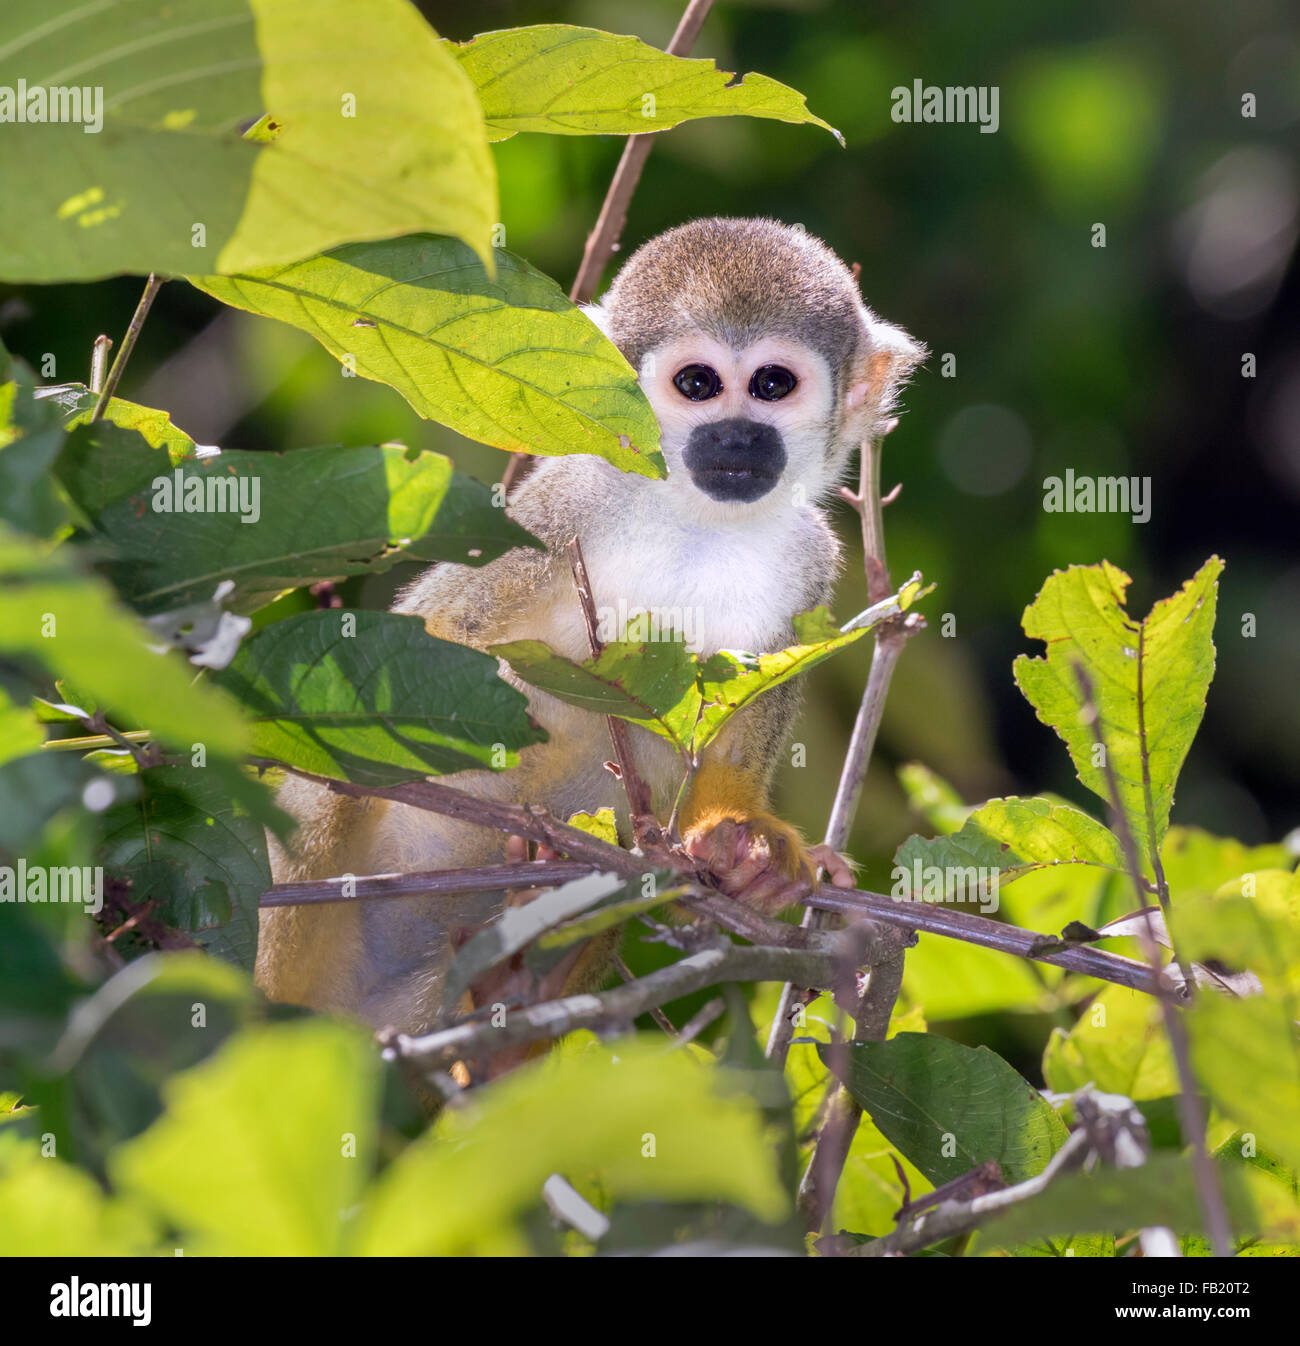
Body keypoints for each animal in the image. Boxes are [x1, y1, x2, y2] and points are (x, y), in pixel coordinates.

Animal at [256, 217, 924, 1040]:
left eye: (772, 384)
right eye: (698, 385)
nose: (737, 440)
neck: (697, 521)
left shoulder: (808, 566)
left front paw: (747, 850)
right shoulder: (565, 506)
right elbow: (444, 630)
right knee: (323, 792)